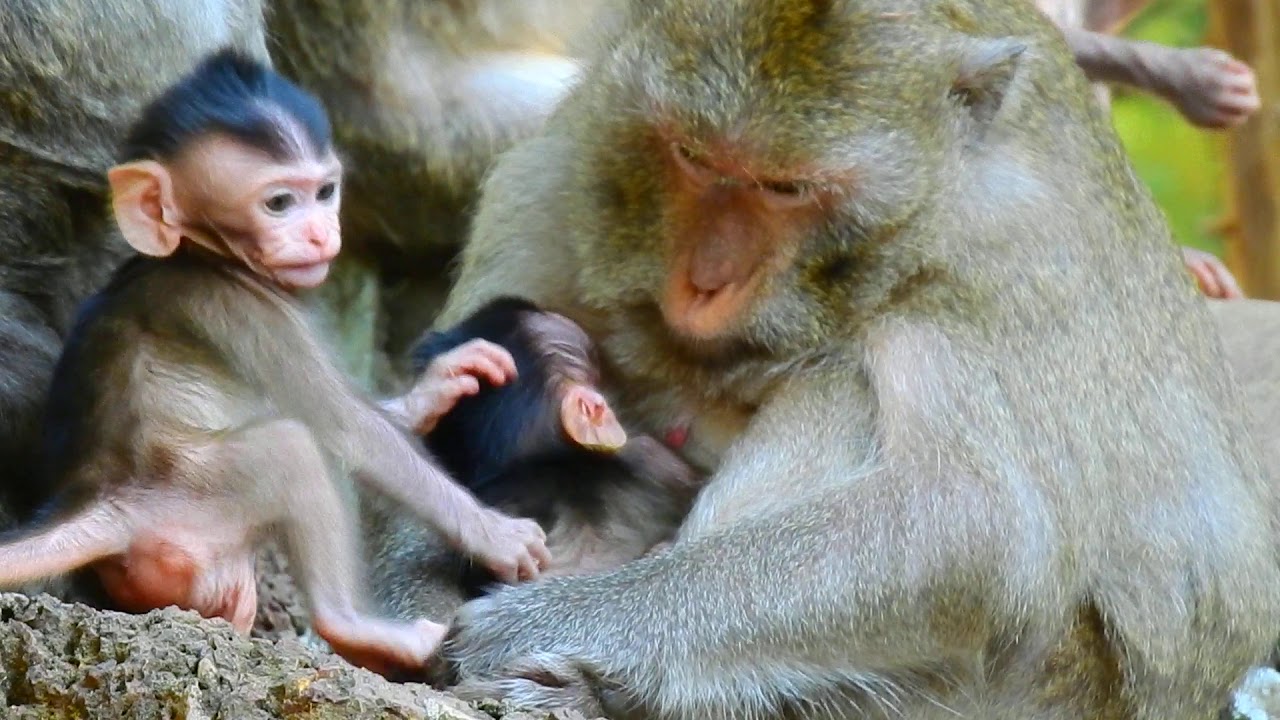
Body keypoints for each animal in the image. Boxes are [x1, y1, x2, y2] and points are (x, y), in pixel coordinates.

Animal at [0, 49, 551, 676]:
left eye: (325, 192)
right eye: (279, 203)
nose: (319, 232)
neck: (205, 254)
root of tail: (104, 505)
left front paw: (437, 388)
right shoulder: (244, 309)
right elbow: (347, 428)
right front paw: (495, 534)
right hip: (195, 503)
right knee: (293, 447)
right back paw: (358, 629)